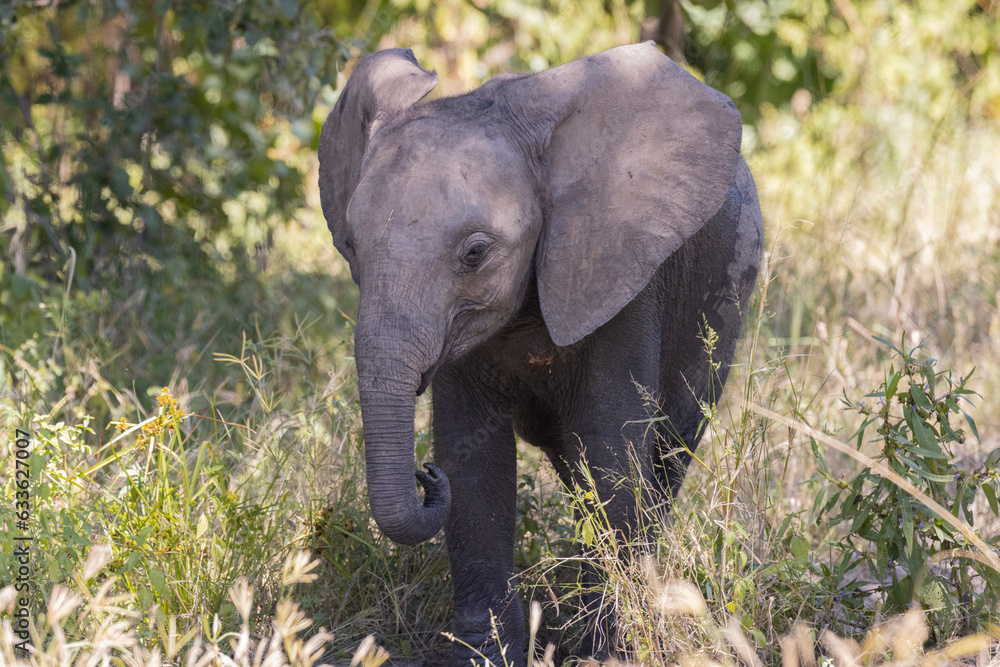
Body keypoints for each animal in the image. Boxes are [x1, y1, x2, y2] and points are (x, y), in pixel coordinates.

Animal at [317, 42, 762, 665]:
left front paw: (607, 652)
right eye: (352, 246)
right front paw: (486, 656)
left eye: (475, 254)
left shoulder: (621, 283)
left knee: (668, 449)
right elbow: (473, 458)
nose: (423, 473)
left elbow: (610, 450)